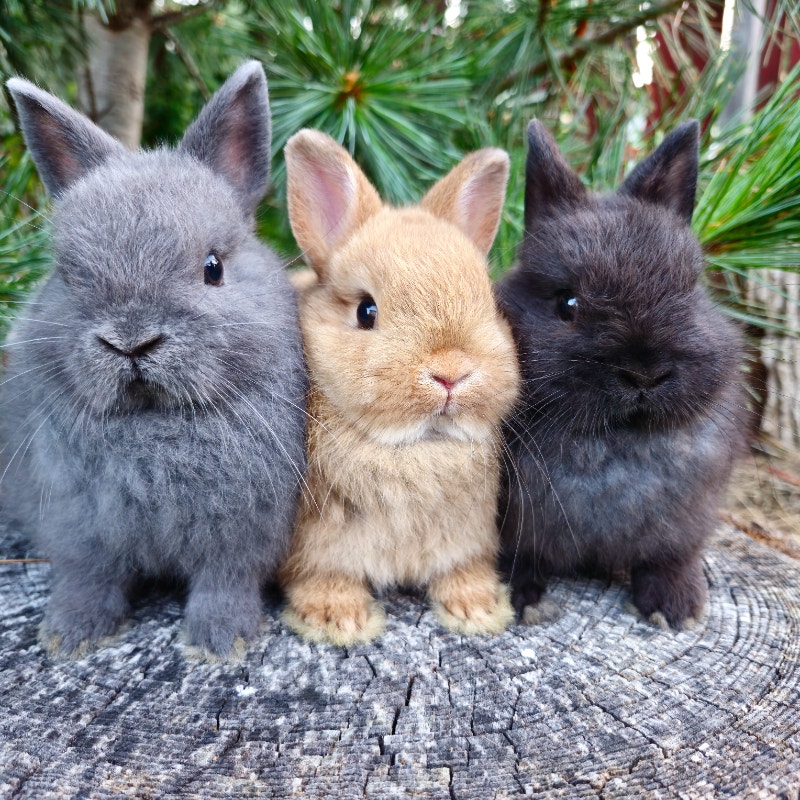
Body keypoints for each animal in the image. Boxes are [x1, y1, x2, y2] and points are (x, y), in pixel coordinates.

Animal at [0, 62, 307, 660]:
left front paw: (221, 642)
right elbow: (87, 579)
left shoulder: (242, 535)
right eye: (69, 277)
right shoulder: (79, 528)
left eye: (213, 268)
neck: (152, 422)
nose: (131, 342)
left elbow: (224, 584)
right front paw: (69, 635)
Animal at [278, 130, 521, 645]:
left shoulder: (465, 536)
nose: (451, 372)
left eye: (489, 304)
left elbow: (461, 570)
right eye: (366, 311)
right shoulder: (316, 545)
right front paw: (338, 619)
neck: (414, 449)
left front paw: (478, 609)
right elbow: (322, 577)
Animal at [495, 119, 747, 630]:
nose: (644, 374)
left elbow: (670, 558)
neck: (616, 440)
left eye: (689, 290)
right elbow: (518, 557)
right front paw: (521, 600)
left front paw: (677, 611)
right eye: (566, 303)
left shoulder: (686, 524)